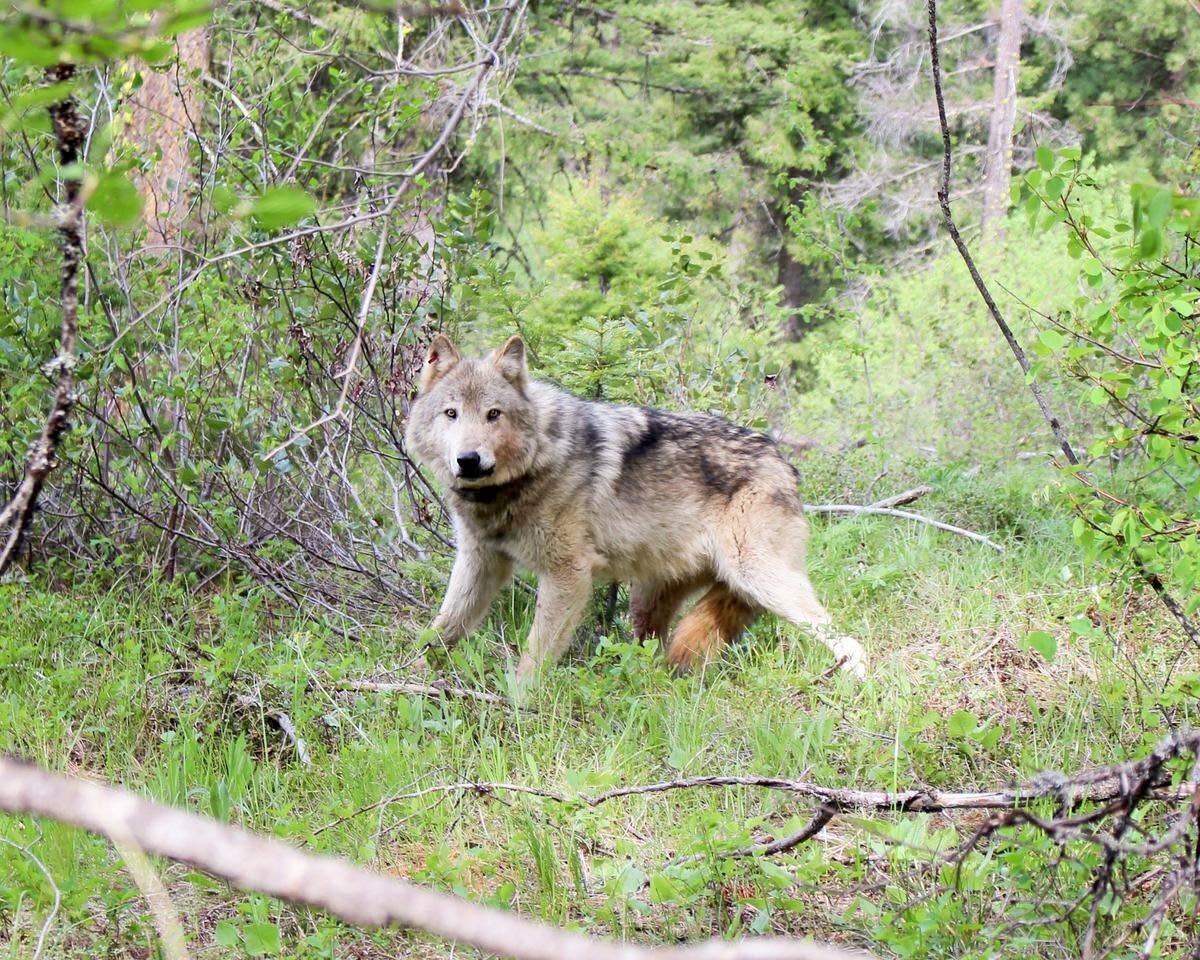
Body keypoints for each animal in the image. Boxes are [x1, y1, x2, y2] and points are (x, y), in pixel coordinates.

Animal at [404, 334, 865, 684]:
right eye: (451, 413)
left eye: (493, 414)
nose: (468, 460)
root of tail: (783, 462)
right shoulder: (480, 563)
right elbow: (441, 629)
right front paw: (406, 679)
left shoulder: (568, 575)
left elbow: (534, 657)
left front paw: (518, 704)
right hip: (651, 601)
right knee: (653, 652)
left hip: (761, 580)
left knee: (849, 640)